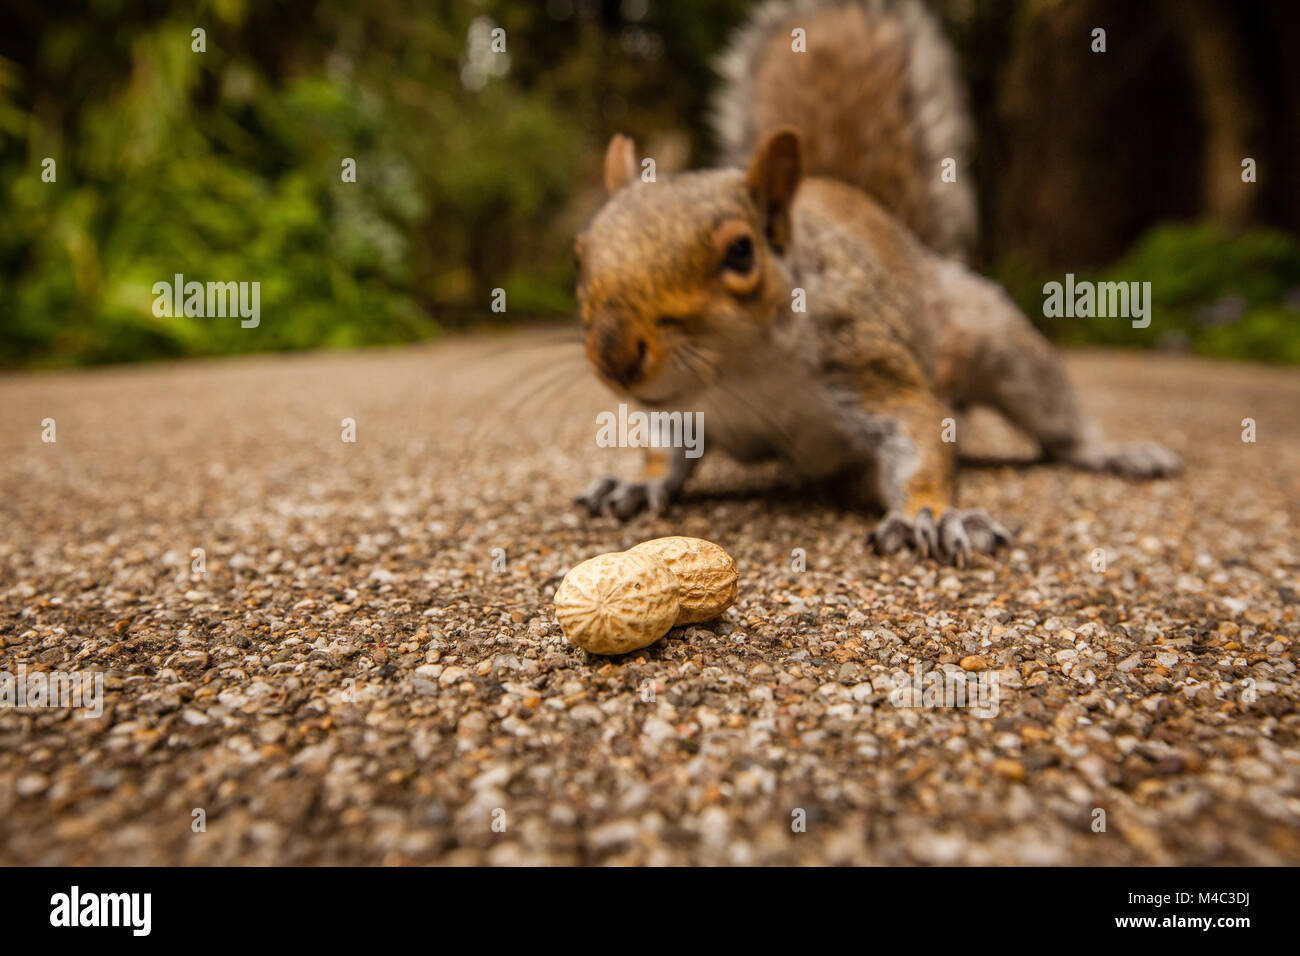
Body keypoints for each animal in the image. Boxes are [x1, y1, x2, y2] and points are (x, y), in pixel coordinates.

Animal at [573, 0, 1181, 563]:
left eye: (742, 252)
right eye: (579, 256)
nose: (614, 355)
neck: (740, 374)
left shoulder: (865, 361)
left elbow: (921, 431)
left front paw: (931, 515)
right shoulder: (680, 413)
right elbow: (665, 451)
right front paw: (634, 483)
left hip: (997, 341)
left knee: (1057, 421)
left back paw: (1115, 452)